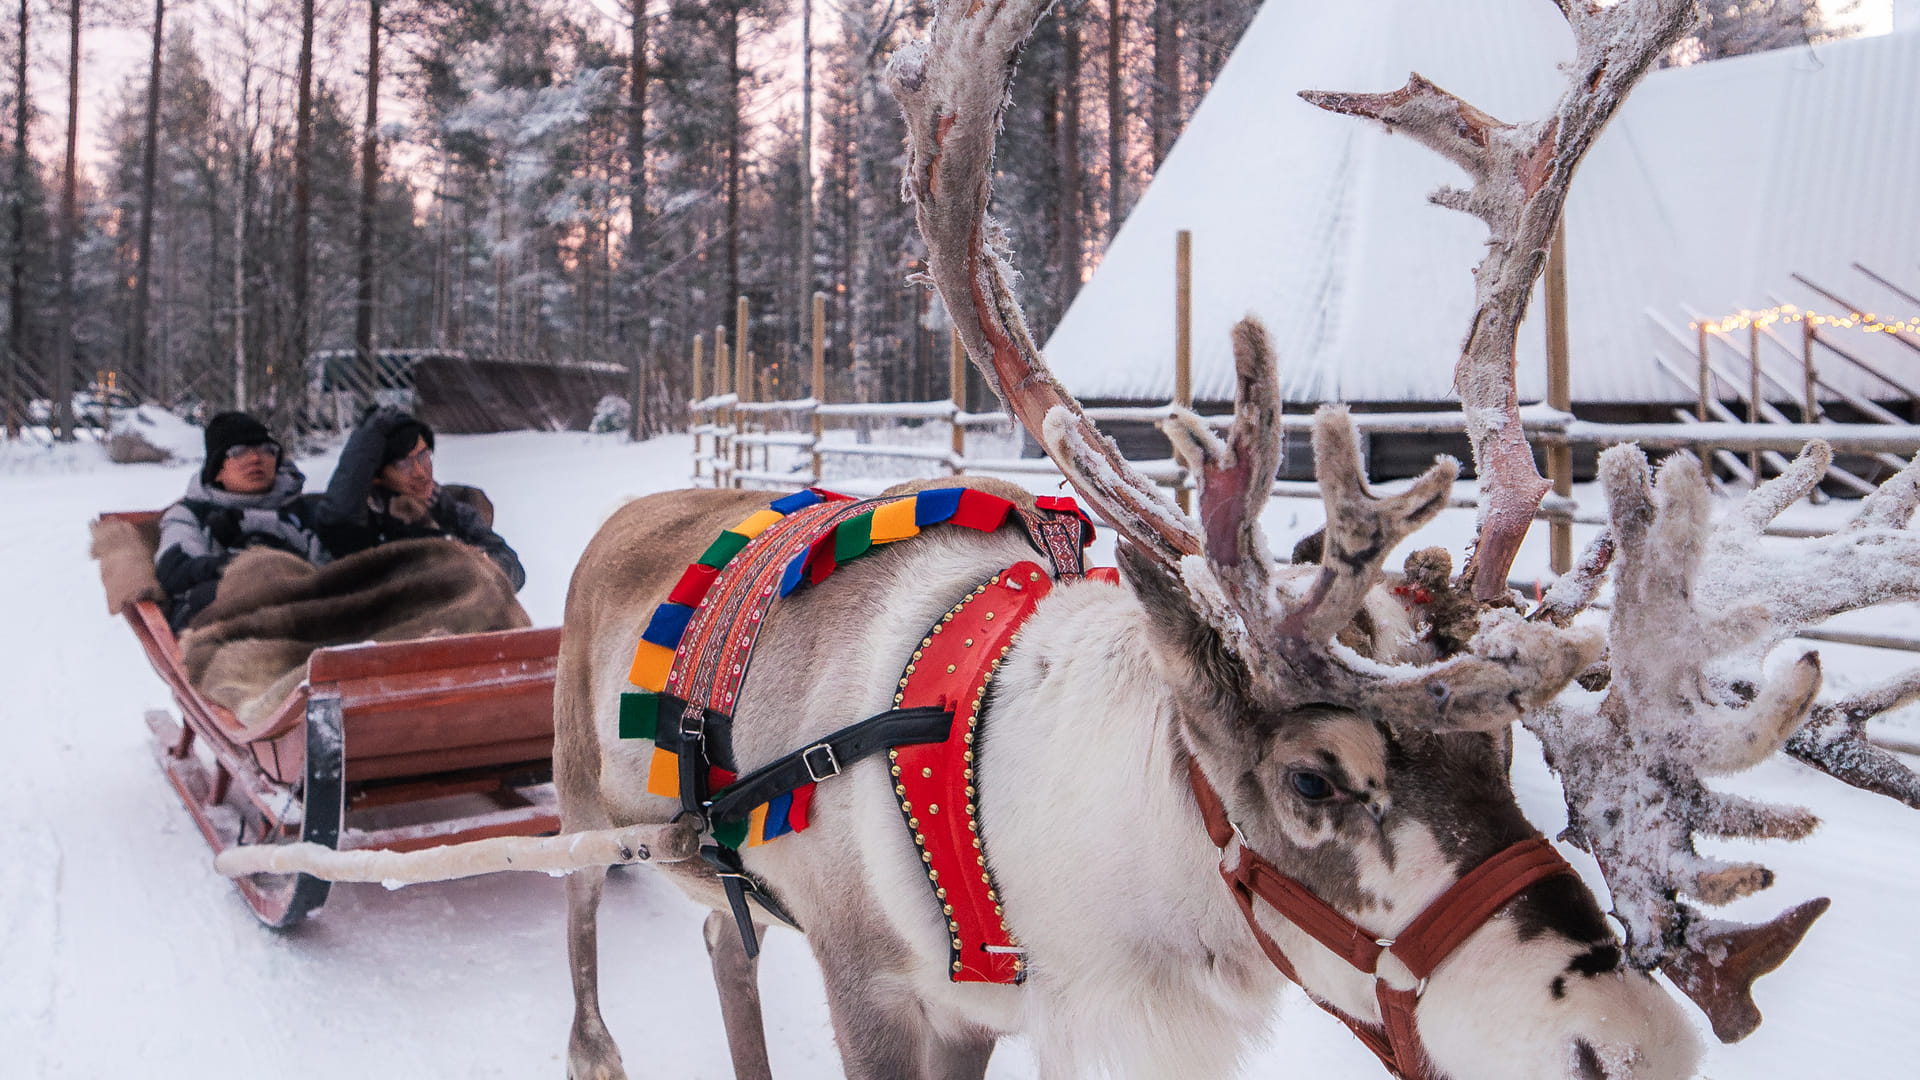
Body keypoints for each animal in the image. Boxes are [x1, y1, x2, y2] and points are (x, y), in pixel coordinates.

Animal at [218, 0, 1920, 1075]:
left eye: (1504, 757)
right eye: (1315, 781)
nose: (1629, 1048)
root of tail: (633, 508)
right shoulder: (884, 994)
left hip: (713, 875)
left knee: (720, 954)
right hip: (585, 803)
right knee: (584, 958)